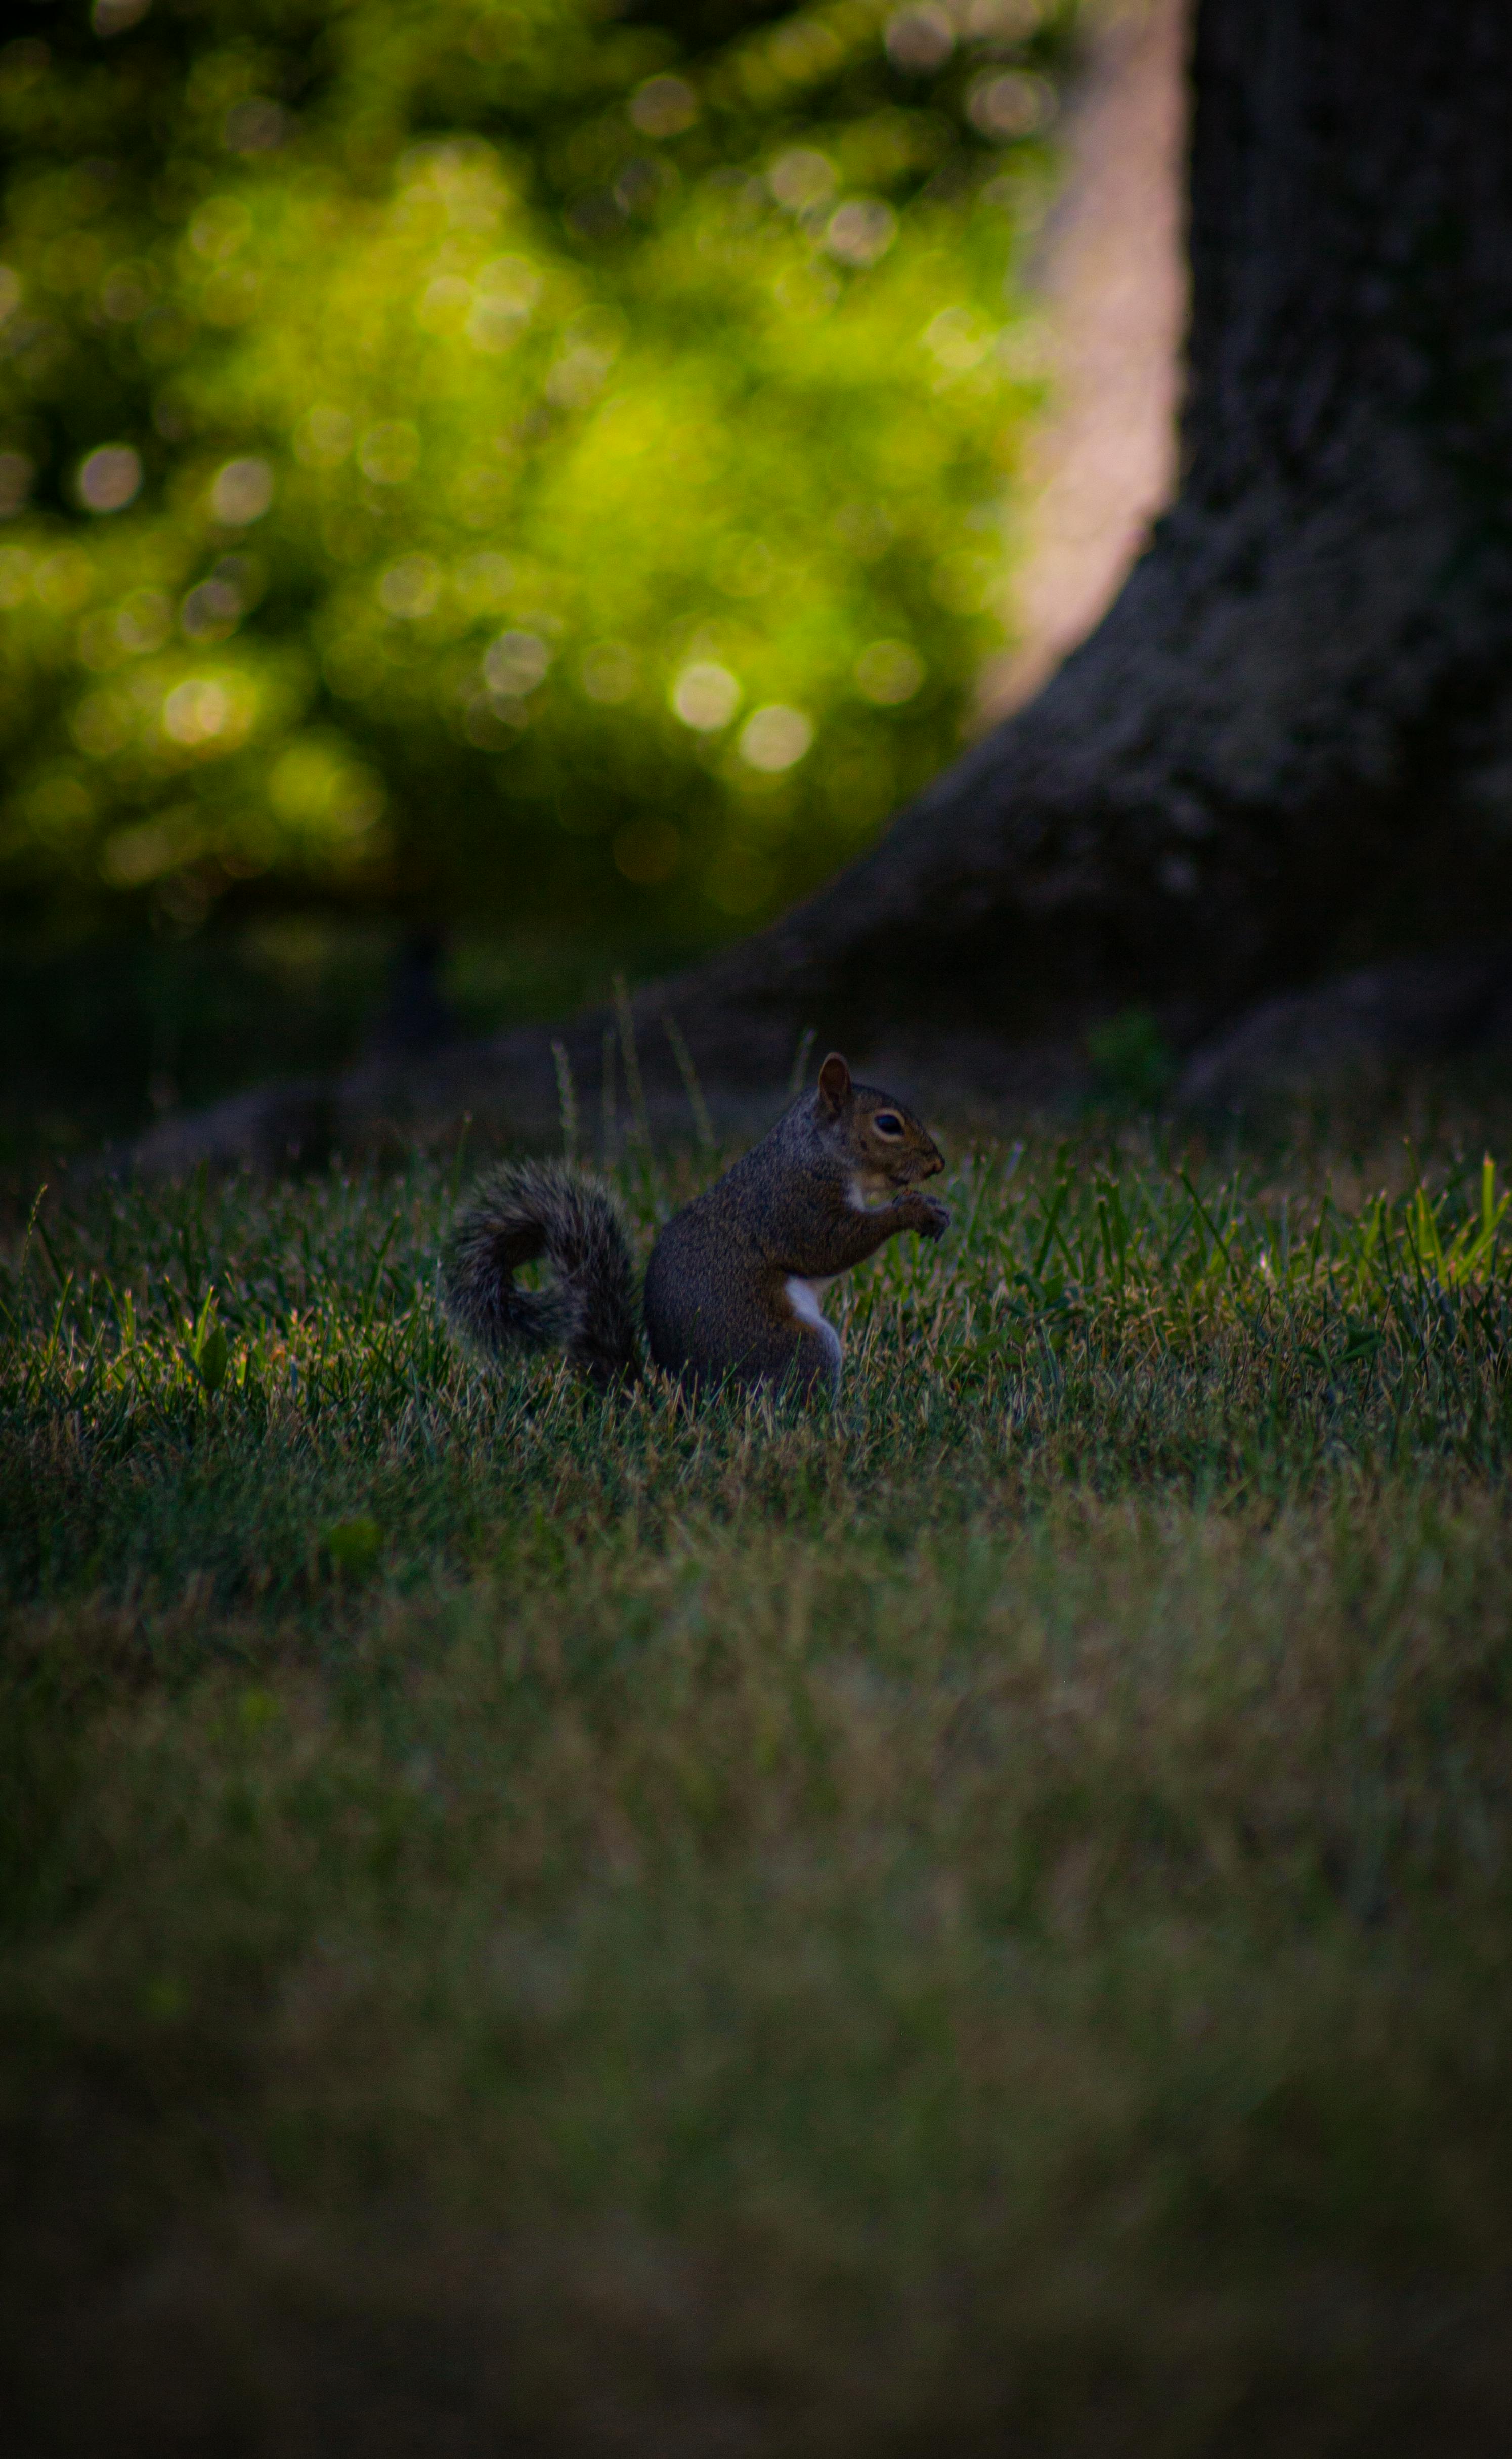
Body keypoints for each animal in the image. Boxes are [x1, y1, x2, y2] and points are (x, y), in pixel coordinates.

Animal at [442, 1050, 949, 1400]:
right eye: (888, 1124)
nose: (938, 1164)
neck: (816, 1151)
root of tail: (688, 1400)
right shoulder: (794, 1205)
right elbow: (831, 1246)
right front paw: (911, 1211)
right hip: (799, 1349)